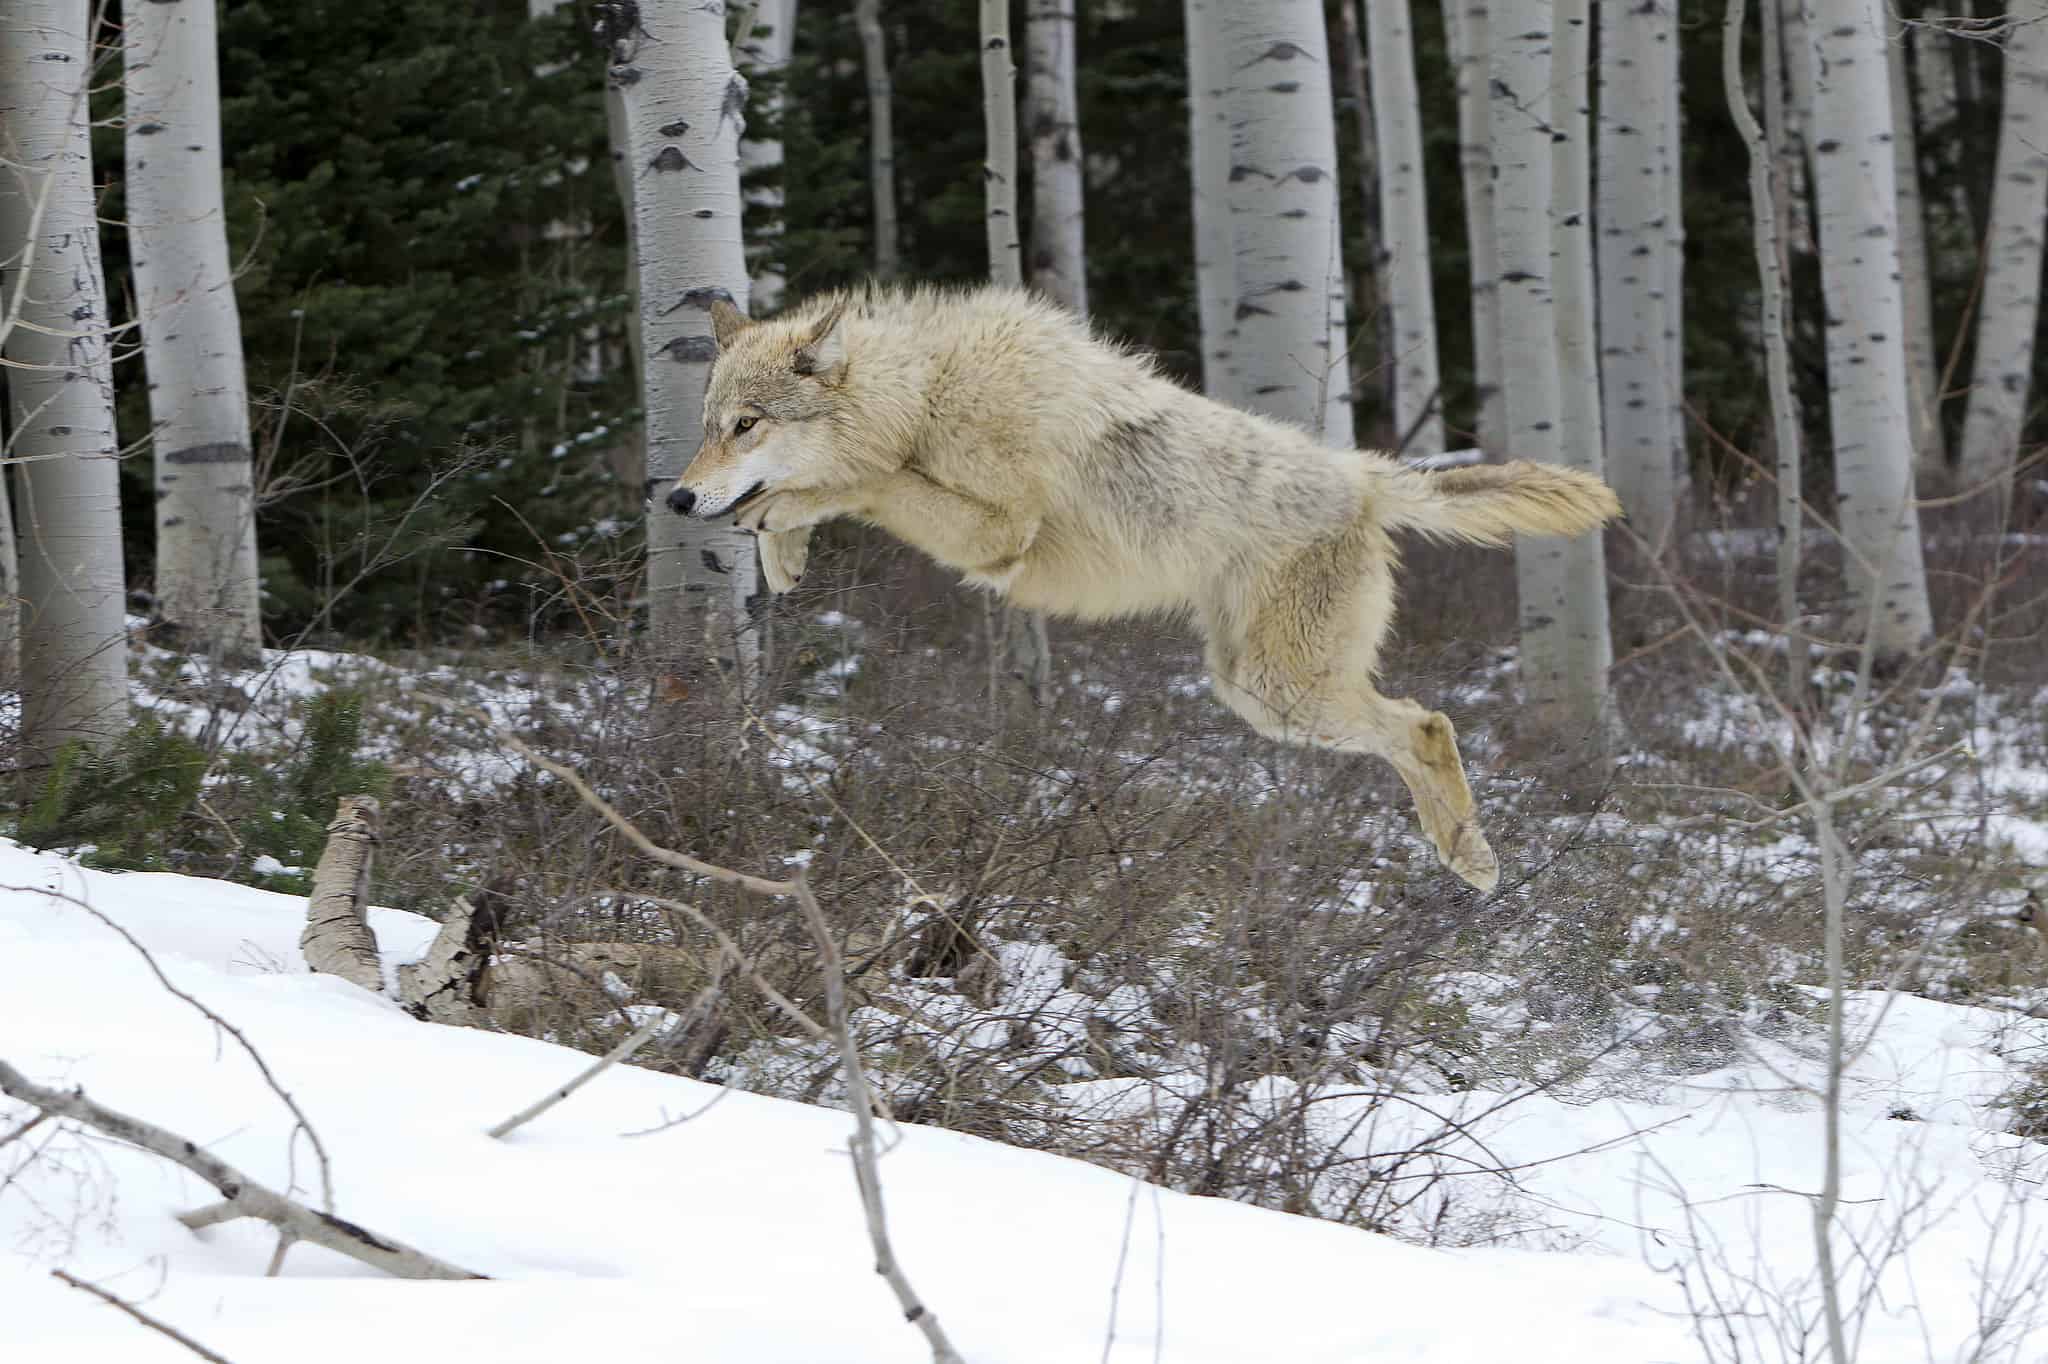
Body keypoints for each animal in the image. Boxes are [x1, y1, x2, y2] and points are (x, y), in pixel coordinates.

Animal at [668, 286, 1621, 892]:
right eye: (708, 427)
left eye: (747, 425)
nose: (677, 498)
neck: (930, 394)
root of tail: (1363, 474)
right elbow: (834, 495)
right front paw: (783, 554)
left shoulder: (993, 534)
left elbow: (864, 482)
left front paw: (783, 520)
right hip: (1256, 695)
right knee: (1420, 727)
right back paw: (1466, 863)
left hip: (1283, 691)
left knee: (1430, 724)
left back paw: (1475, 862)